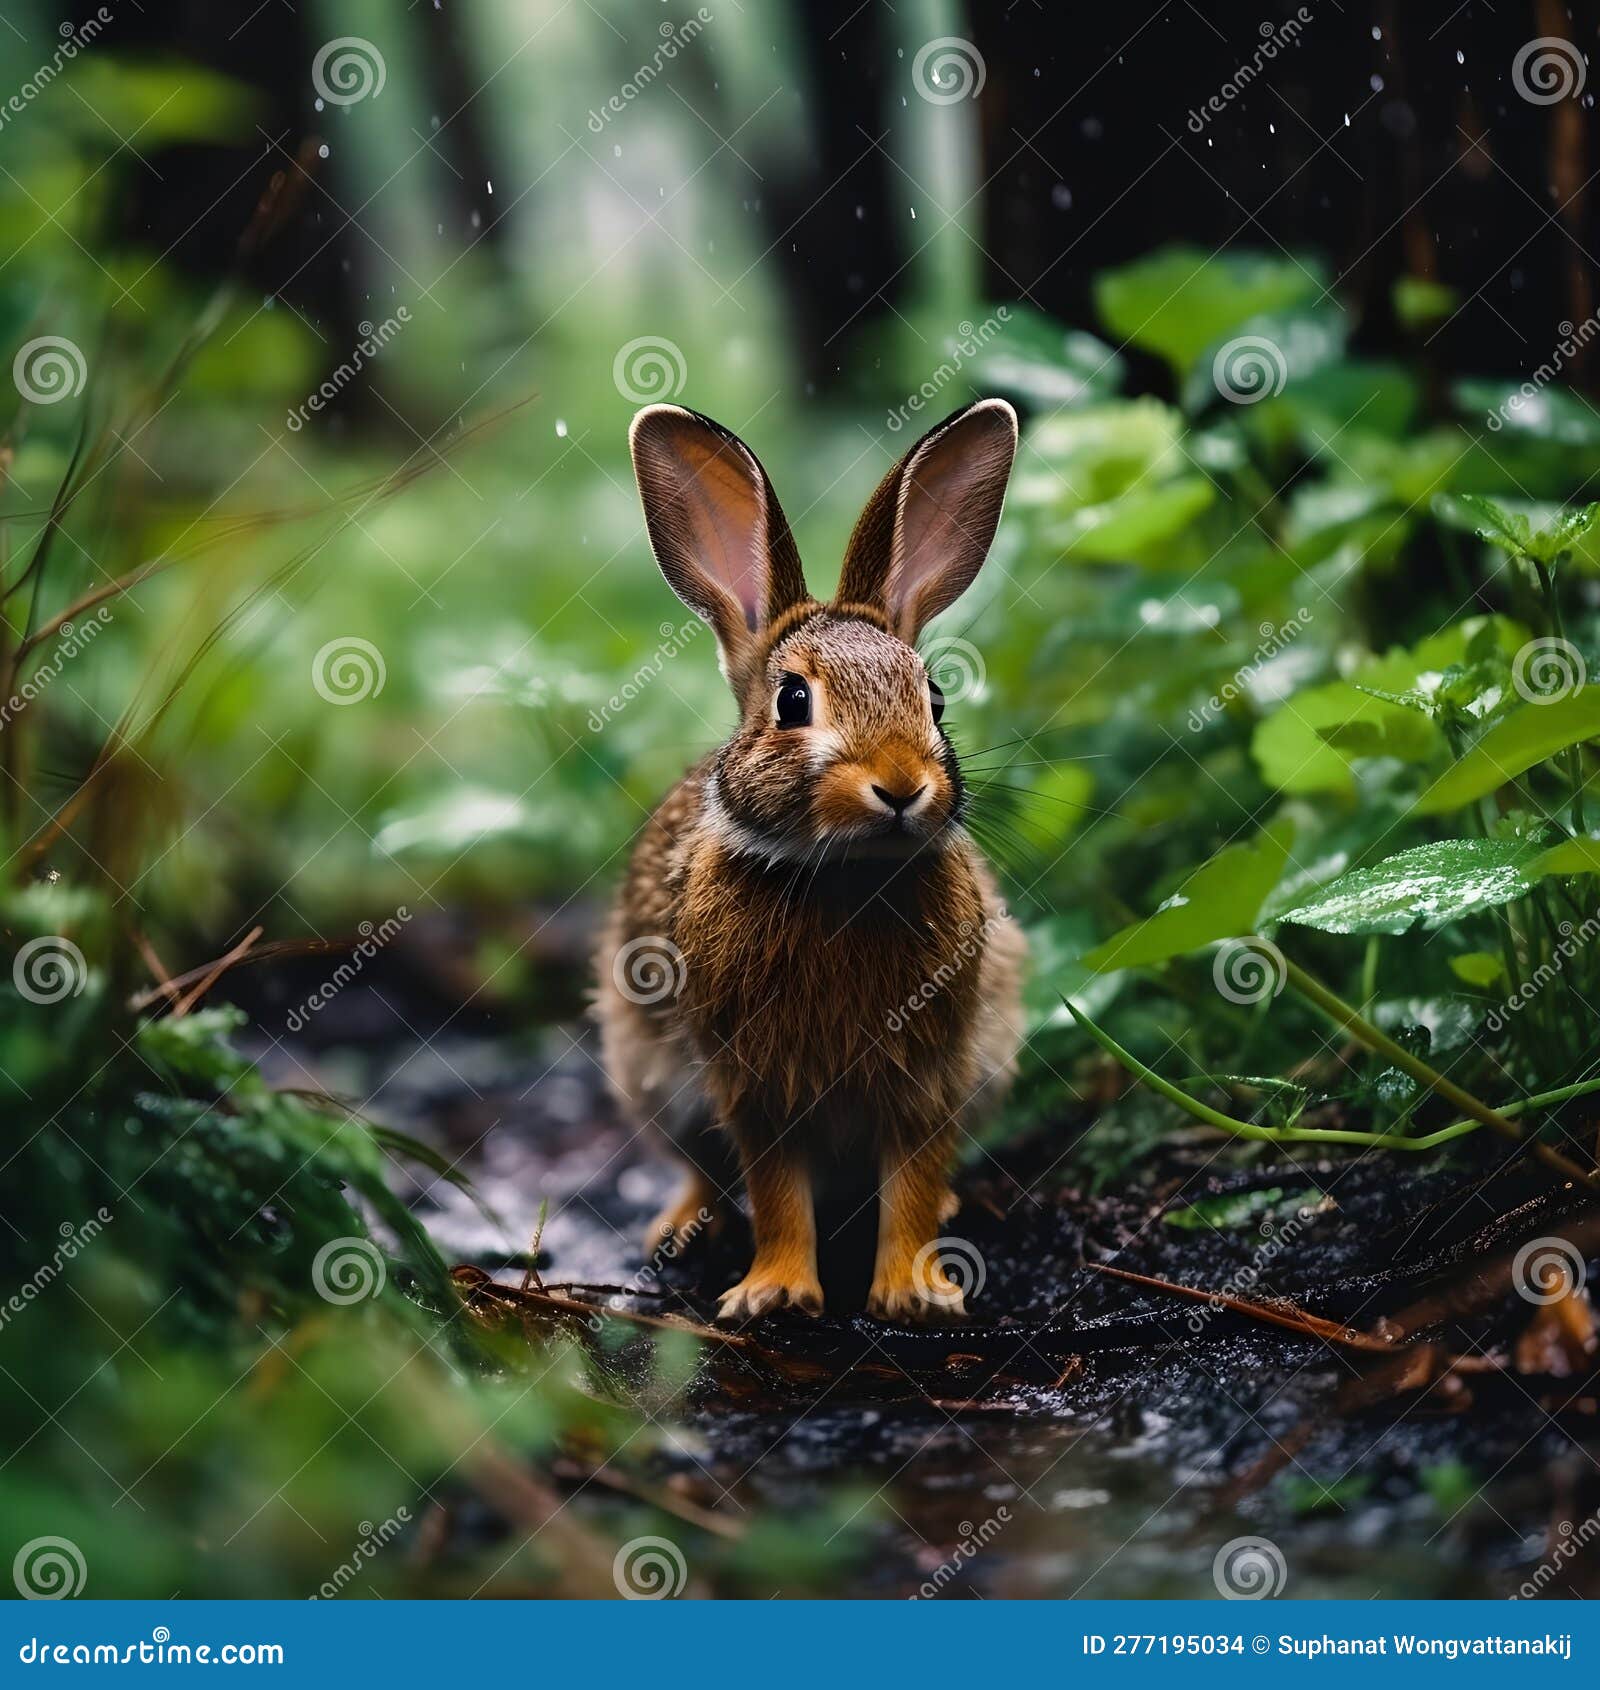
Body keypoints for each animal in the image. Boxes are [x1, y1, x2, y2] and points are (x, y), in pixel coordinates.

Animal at [594, 397, 1027, 1323]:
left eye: (935, 697)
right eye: (793, 701)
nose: (900, 785)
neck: (845, 878)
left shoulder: (933, 1075)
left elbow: (912, 1177)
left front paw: (914, 1293)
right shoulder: (753, 1087)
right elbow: (776, 1189)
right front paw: (776, 1295)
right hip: (653, 1083)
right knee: (703, 1171)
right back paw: (682, 1229)